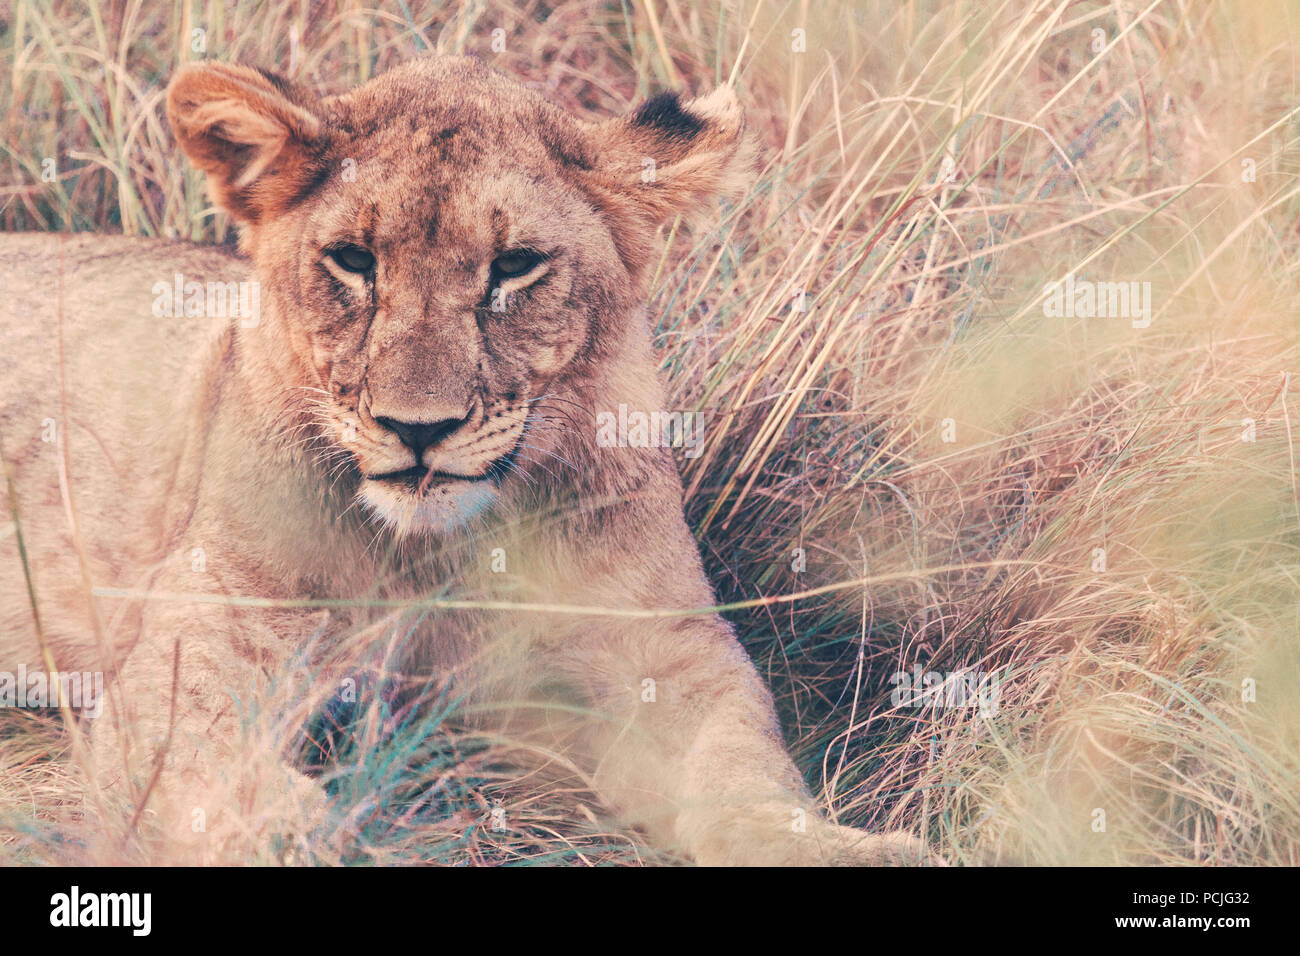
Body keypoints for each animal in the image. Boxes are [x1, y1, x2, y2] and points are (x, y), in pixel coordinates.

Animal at [0, 56, 932, 865]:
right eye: (354, 261)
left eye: (514, 267)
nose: (419, 427)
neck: (437, 553)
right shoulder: (211, 633)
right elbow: (206, 759)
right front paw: (304, 829)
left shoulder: (662, 650)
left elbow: (740, 765)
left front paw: (840, 852)